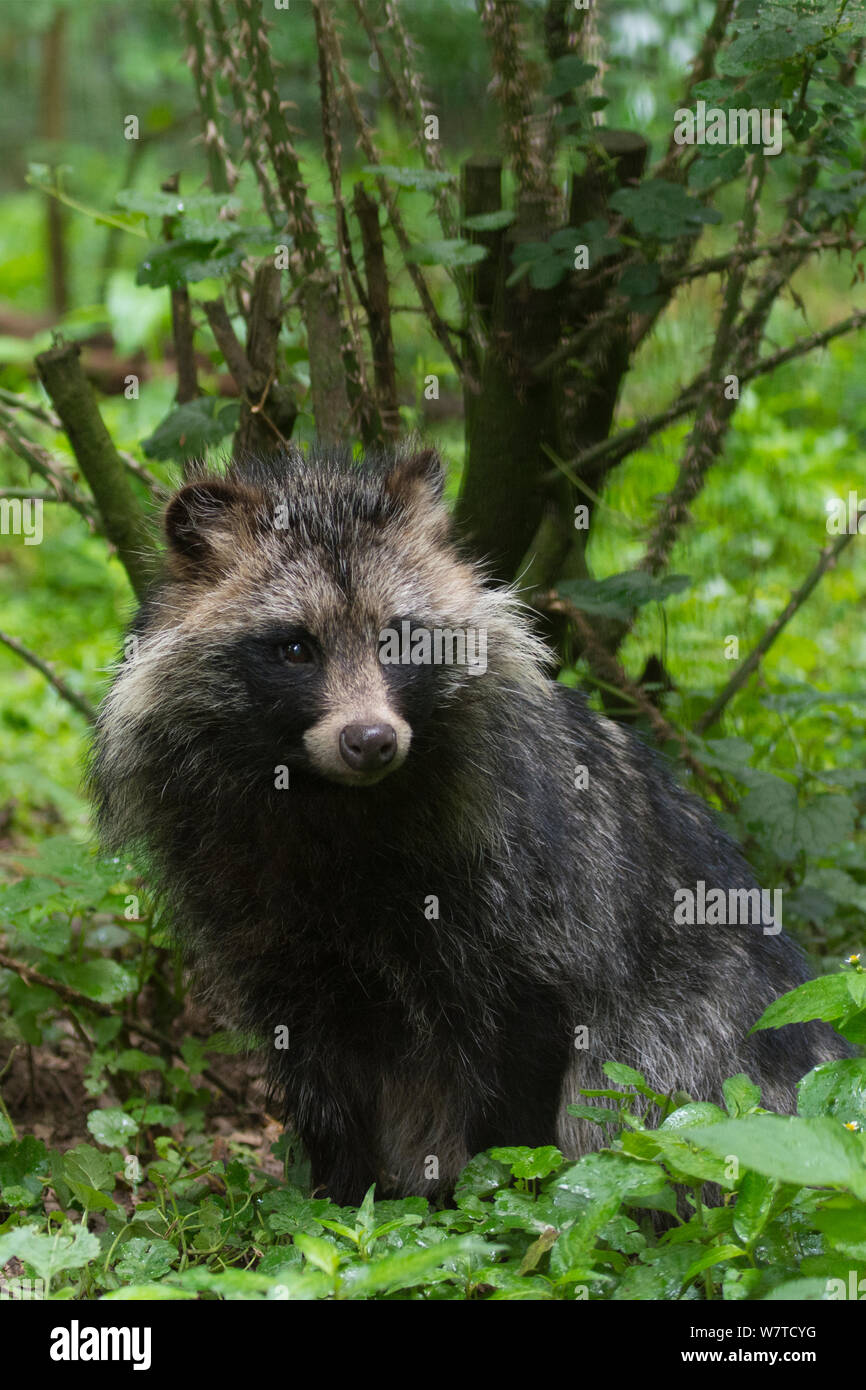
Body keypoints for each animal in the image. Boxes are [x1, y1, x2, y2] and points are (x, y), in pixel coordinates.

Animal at [92, 444, 844, 1205]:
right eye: (296, 649)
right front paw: (338, 1187)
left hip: (716, 1039)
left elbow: (530, 1034)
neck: (327, 797)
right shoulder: (243, 893)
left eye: (399, 640)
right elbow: (310, 1053)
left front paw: (495, 1192)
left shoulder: (519, 887)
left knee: (642, 1075)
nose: (371, 741)